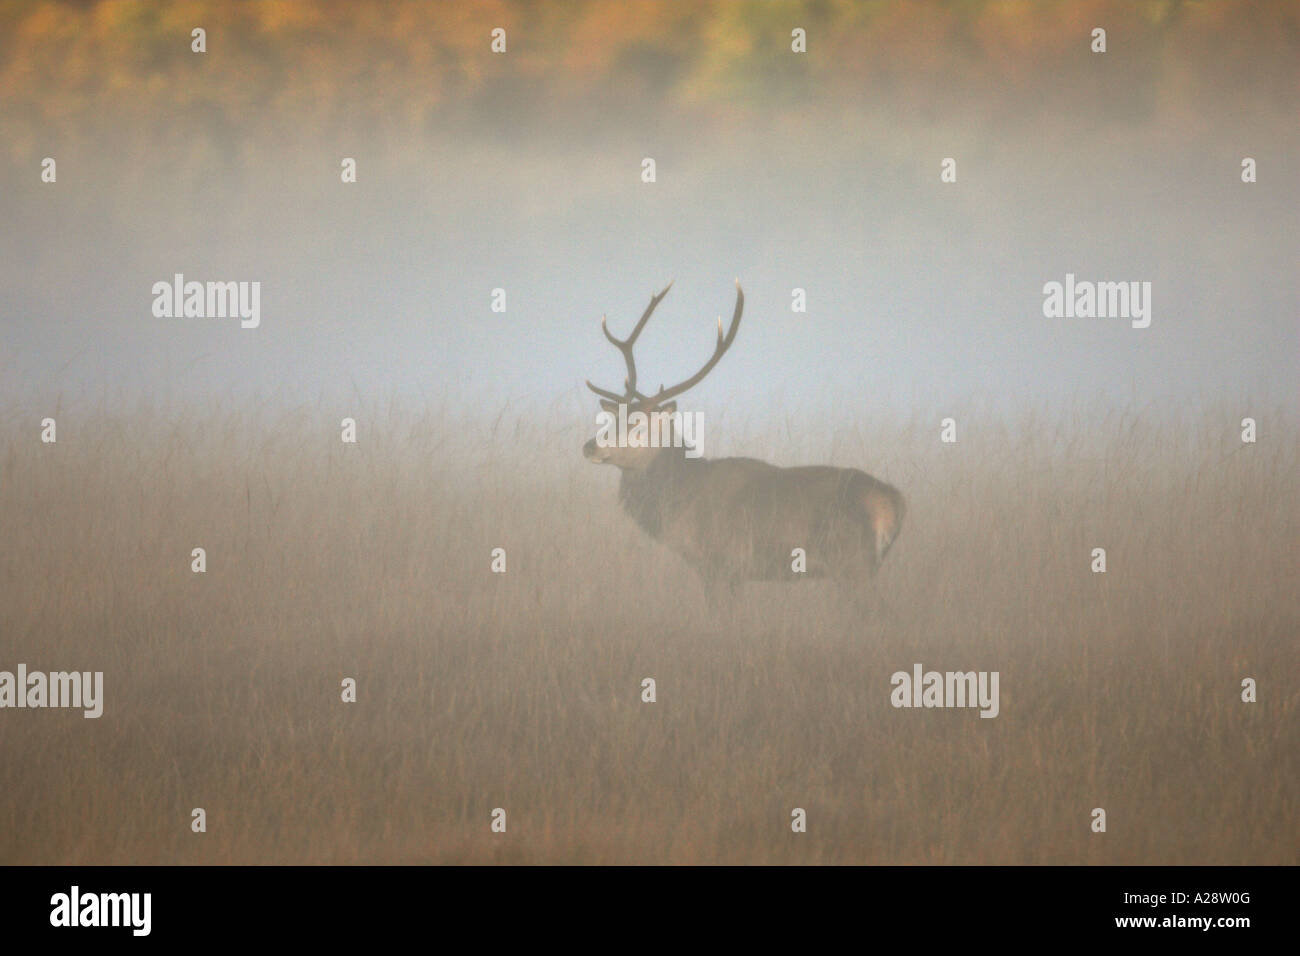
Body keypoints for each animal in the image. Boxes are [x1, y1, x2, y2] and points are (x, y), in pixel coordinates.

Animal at [583, 281, 905, 603]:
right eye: (613, 418)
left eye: (638, 424)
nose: (589, 446)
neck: (681, 502)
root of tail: (893, 501)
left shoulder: (718, 565)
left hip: (852, 562)